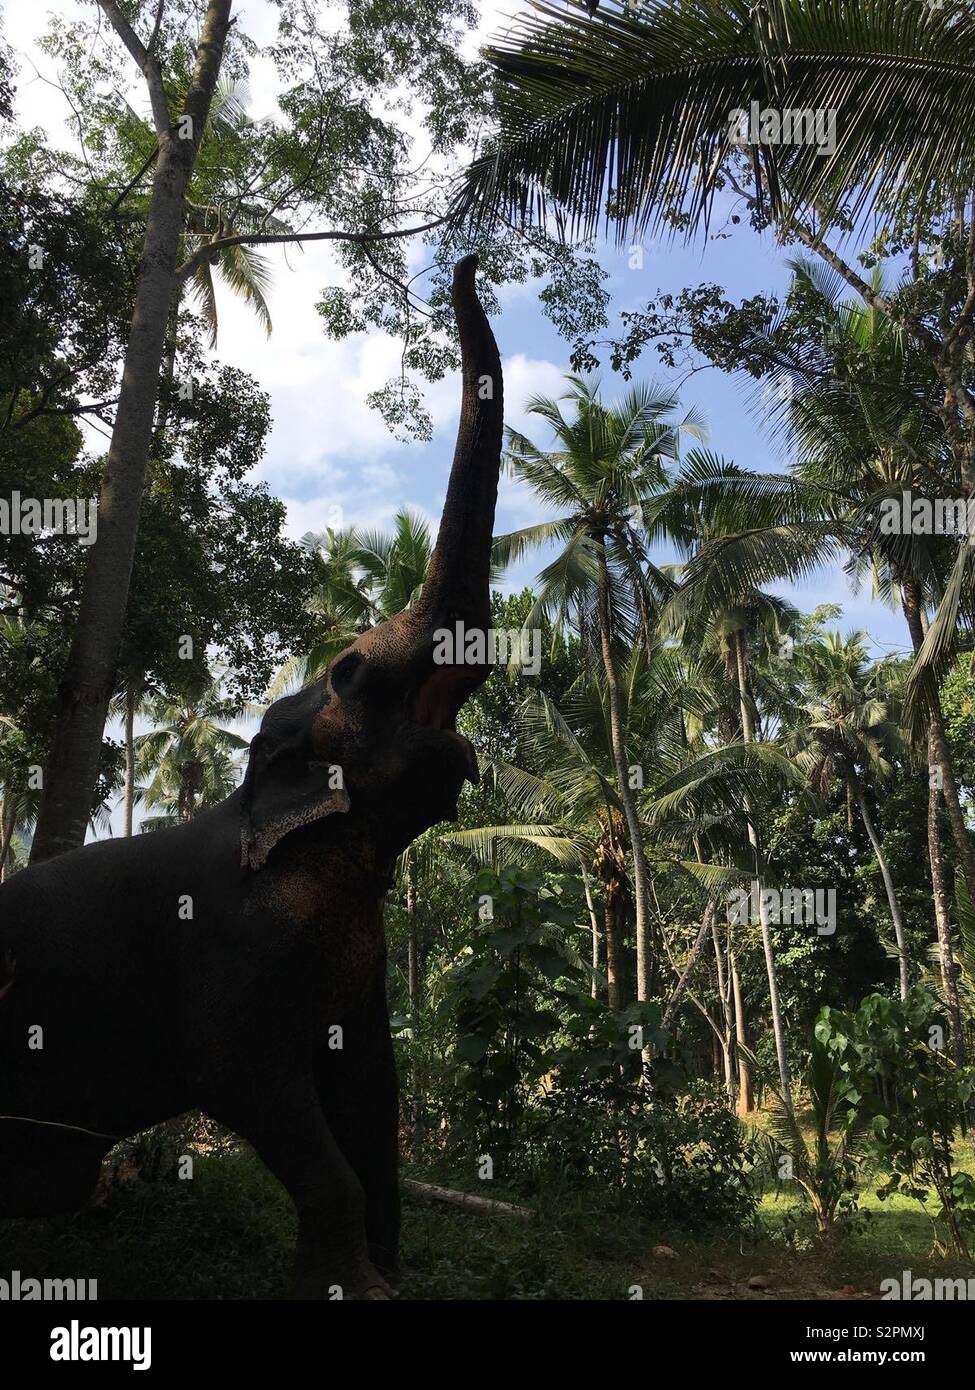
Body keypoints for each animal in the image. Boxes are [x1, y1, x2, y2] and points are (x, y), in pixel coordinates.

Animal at [0, 254, 503, 1299]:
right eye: (350, 672)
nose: (470, 260)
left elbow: (371, 1096)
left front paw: (386, 1280)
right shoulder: (233, 948)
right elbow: (245, 1079)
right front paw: (349, 1289)